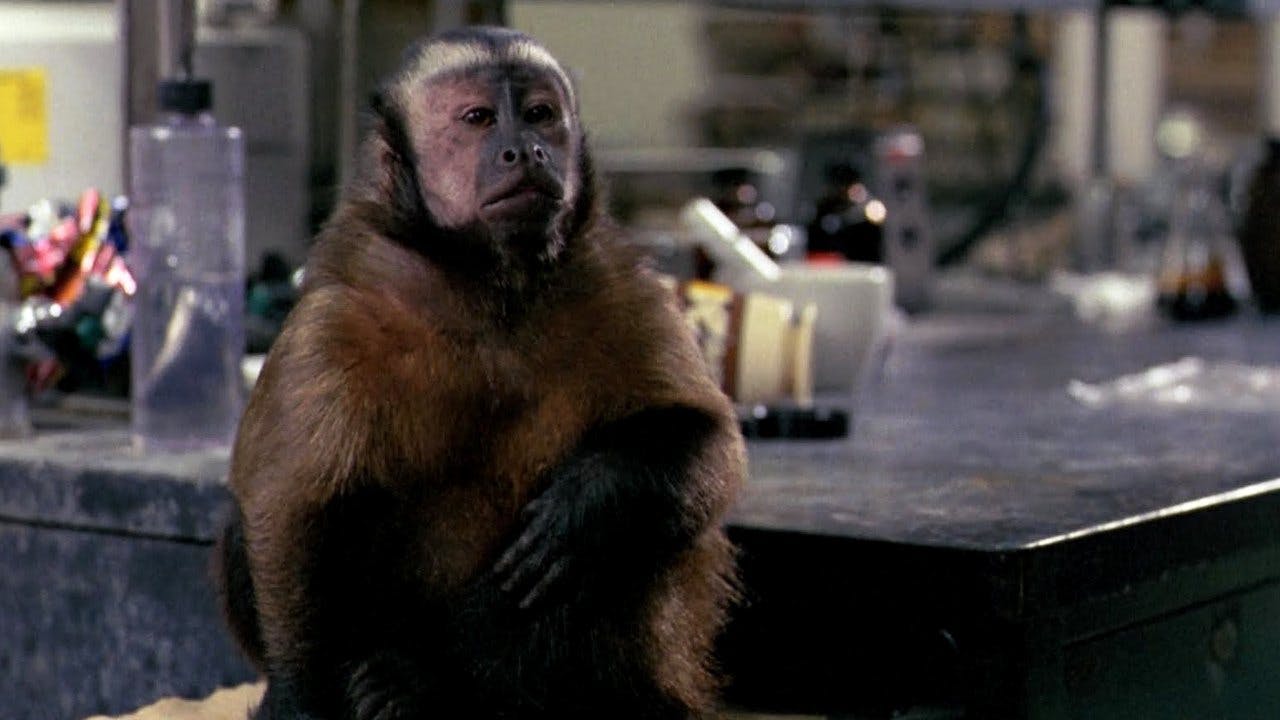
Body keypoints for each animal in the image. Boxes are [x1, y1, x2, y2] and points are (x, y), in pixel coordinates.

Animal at [215, 26, 746, 720]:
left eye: (541, 114)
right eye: (479, 119)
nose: (526, 150)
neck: (484, 283)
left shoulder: (620, 282)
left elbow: (707, 441)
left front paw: (586, 505)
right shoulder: (336, 314)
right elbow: (291, 506)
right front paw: (301, 698)